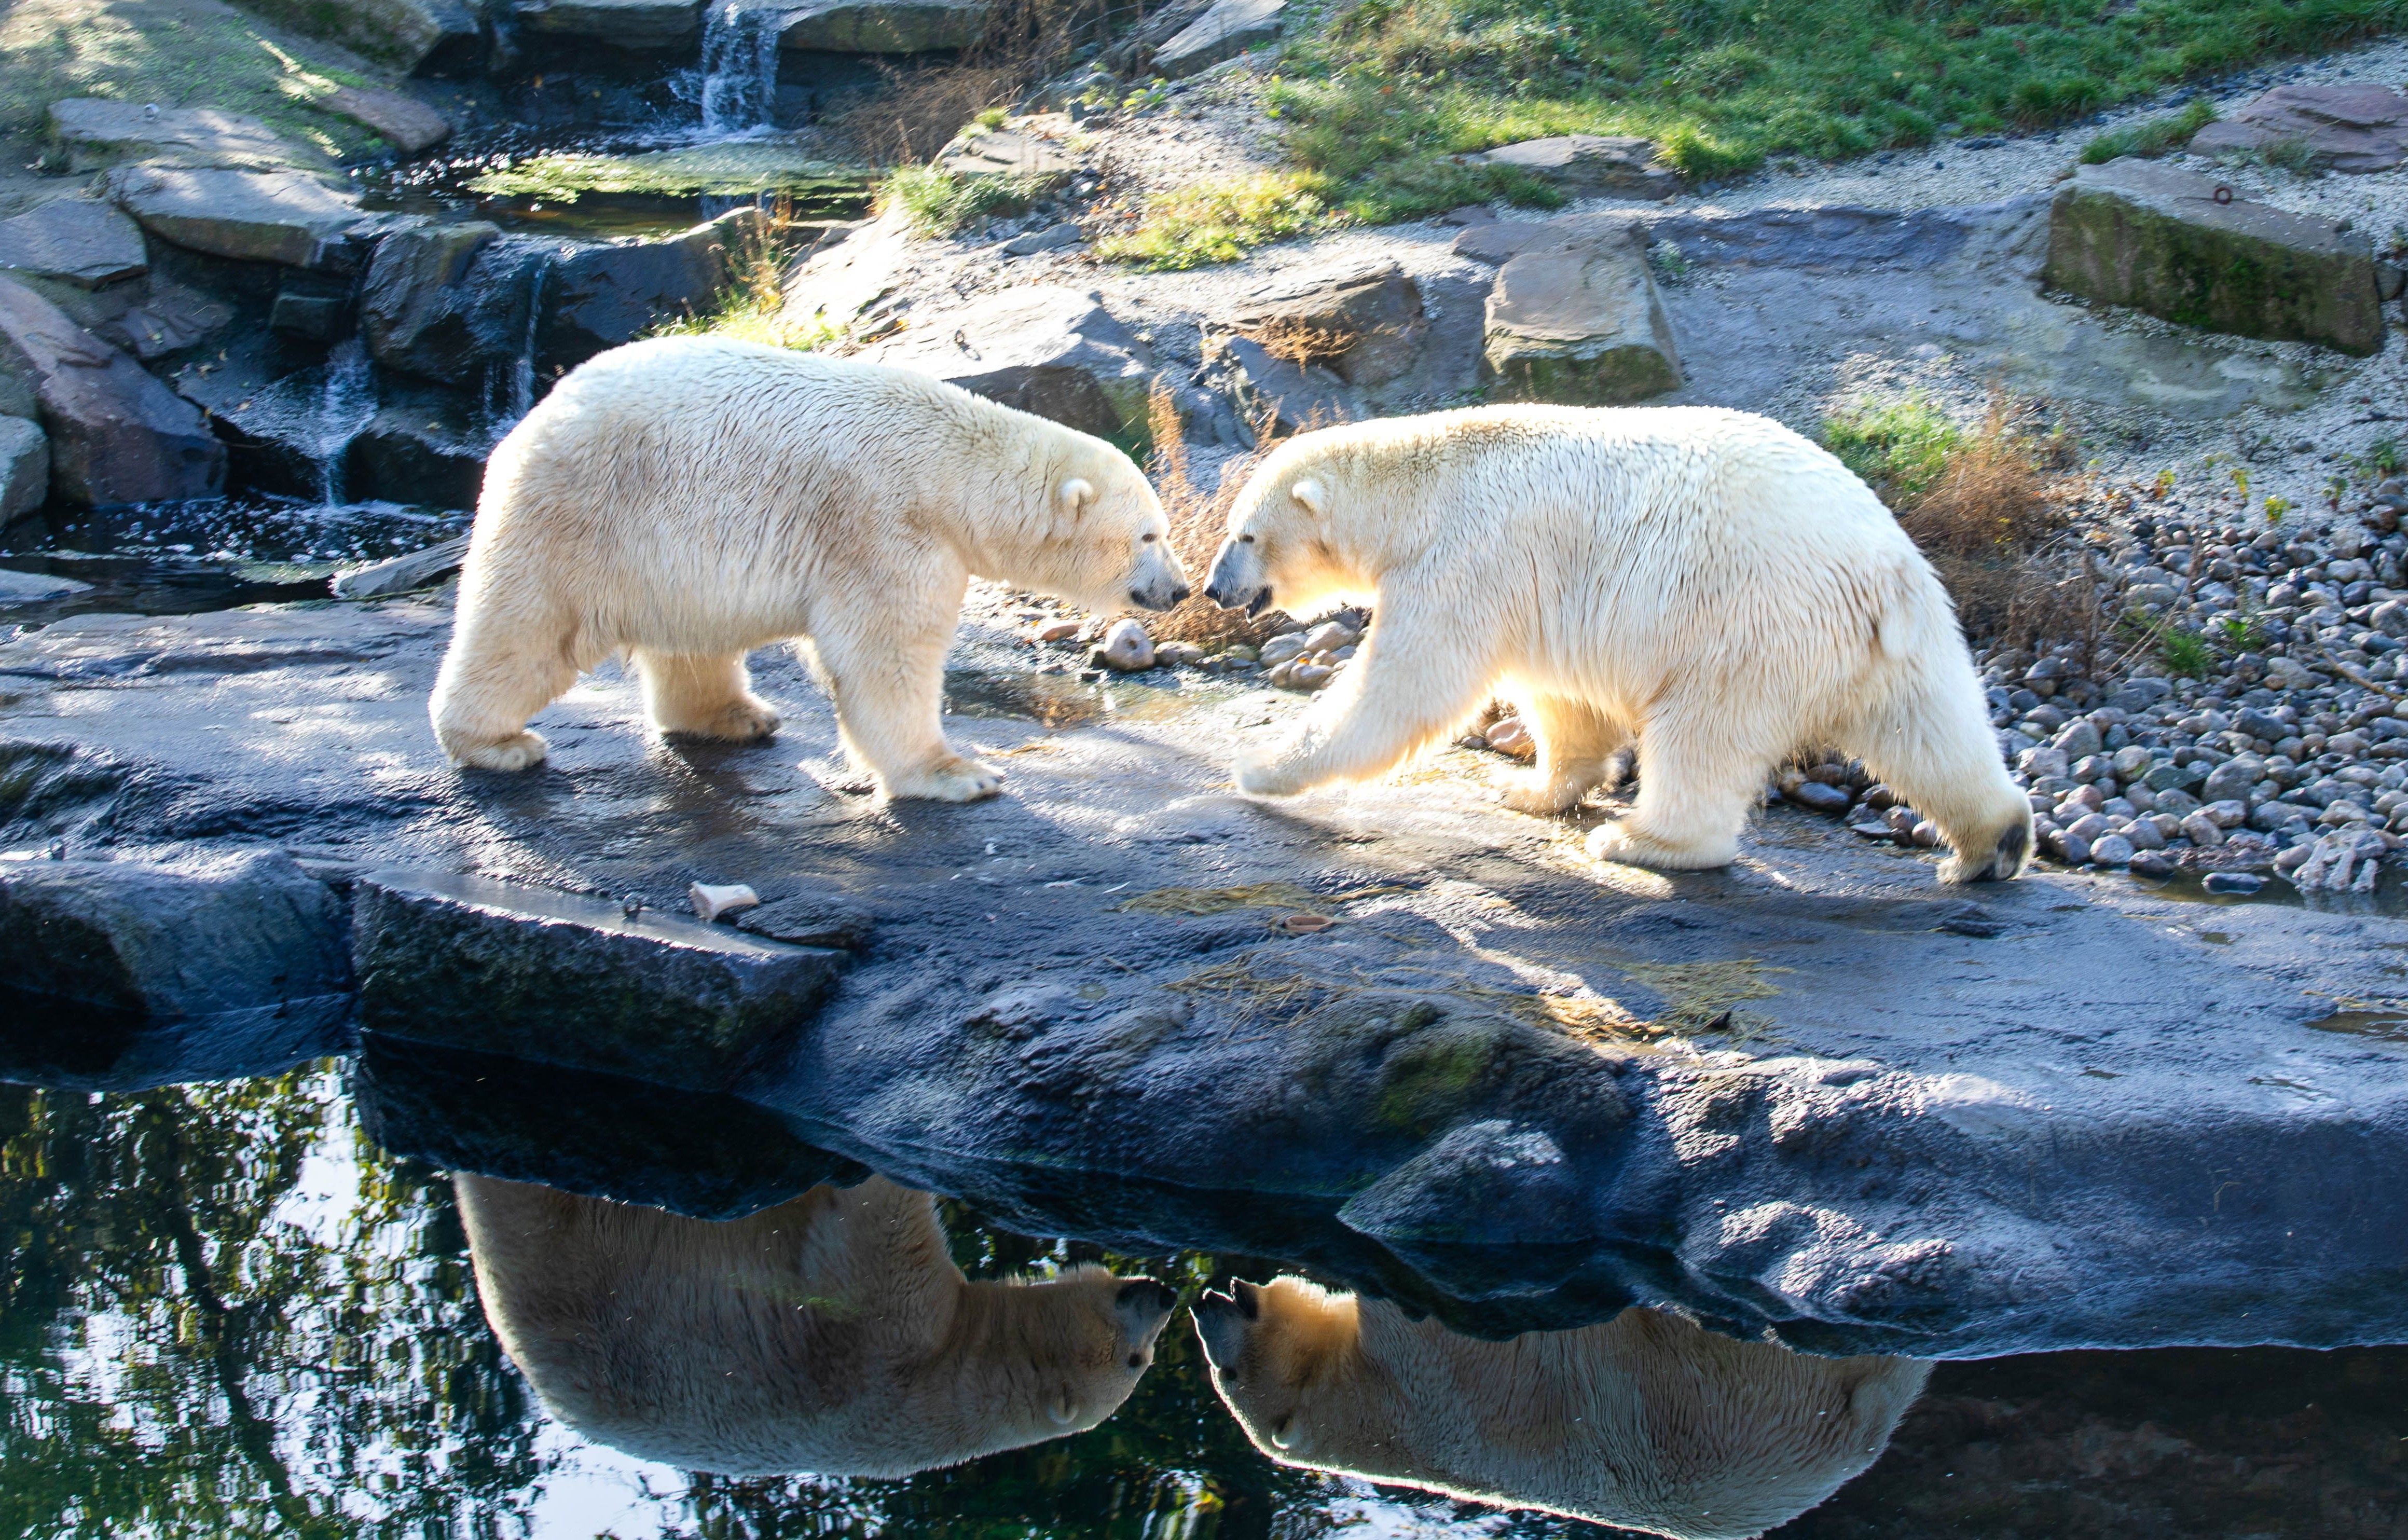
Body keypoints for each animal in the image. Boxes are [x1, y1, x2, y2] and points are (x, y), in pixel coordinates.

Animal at [429, 337, 1189, 801]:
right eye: (1148, 535)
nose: (1180, 588)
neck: (951, 470)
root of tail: (536, 415)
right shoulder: (885, 528)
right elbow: (887, 654)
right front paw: (958, 773)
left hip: (665, 548)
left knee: (691, 640)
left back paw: (737, 715)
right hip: (584, 518)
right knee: (527, 630)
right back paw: (497, 742)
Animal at [1200, 405, 2032, 882]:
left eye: (1244, 535)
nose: (1213, 589)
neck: (1415, 489)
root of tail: (1880, 567)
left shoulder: (1468, 556)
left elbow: (1408, 686)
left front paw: (1258, 768)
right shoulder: (1535, 591)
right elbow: (1563, 702)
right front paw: (1533, 790)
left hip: (1745, 623)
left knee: (1703, 737)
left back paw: (1642, 840)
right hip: (1899, 638)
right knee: (1931, 727)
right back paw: (1994, 842)